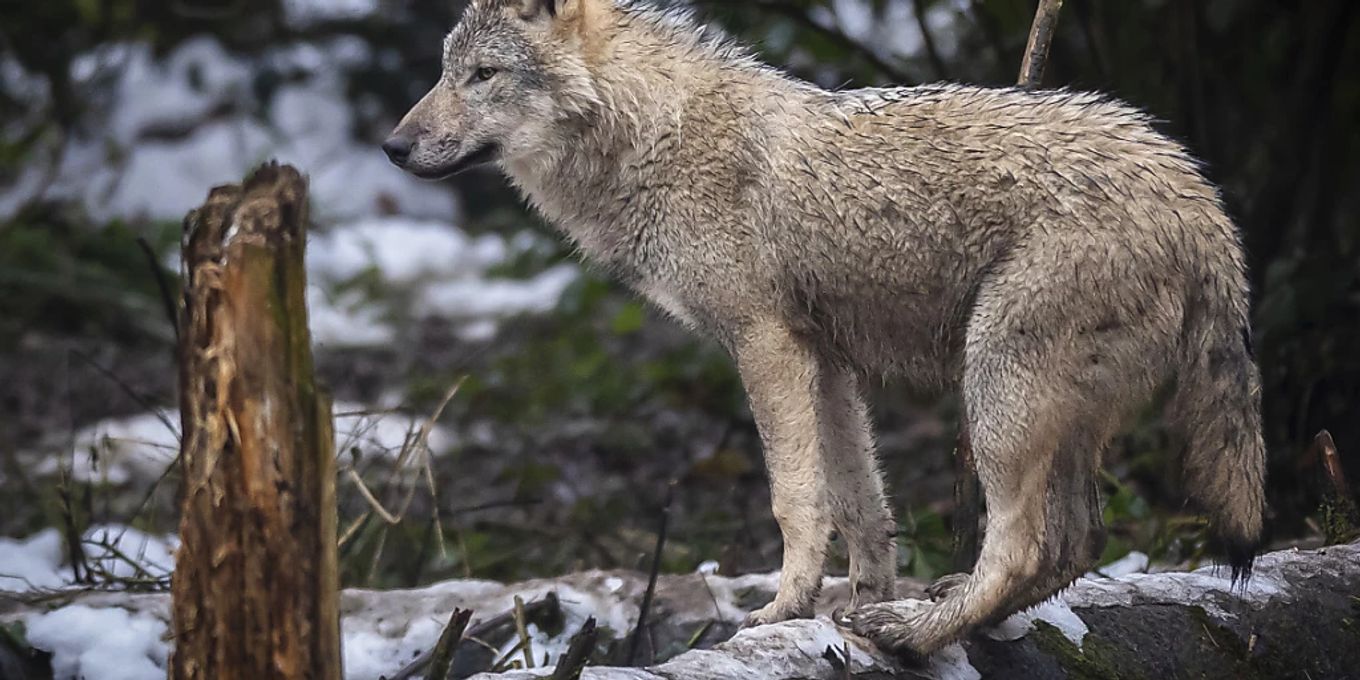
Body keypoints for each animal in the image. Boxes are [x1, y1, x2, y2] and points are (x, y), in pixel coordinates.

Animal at [383, 0, 1267, 657]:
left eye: (484, 75)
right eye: (444, 72)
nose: (392, 146)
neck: (652, 136)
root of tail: (1200, 198)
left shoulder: (765, 345)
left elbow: (793, 499)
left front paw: (784, 607)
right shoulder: (829, 362)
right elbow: (860, 505)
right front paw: (851, 602)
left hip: (994, 392)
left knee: (1023, 544)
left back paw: (917, 632)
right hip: (1054, 415)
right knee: (1078, 542)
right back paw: (933, 616)